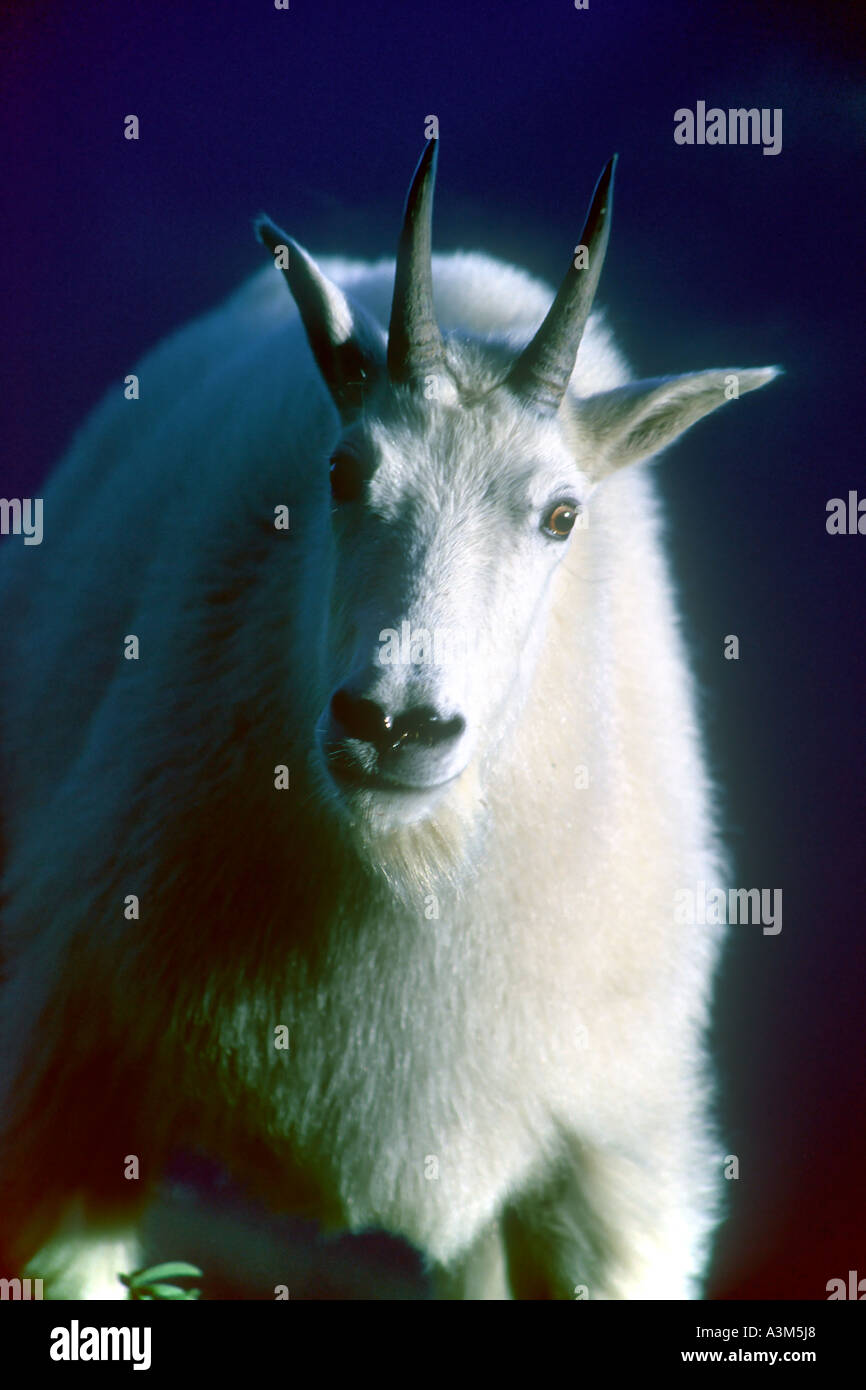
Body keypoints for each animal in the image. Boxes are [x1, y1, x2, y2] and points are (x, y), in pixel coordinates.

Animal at [0, 141, 778, 1299]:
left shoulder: (612, 1172)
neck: (408, 869)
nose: (395, 725)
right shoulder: (67, 1089)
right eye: (341, 467)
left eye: (561, 514)